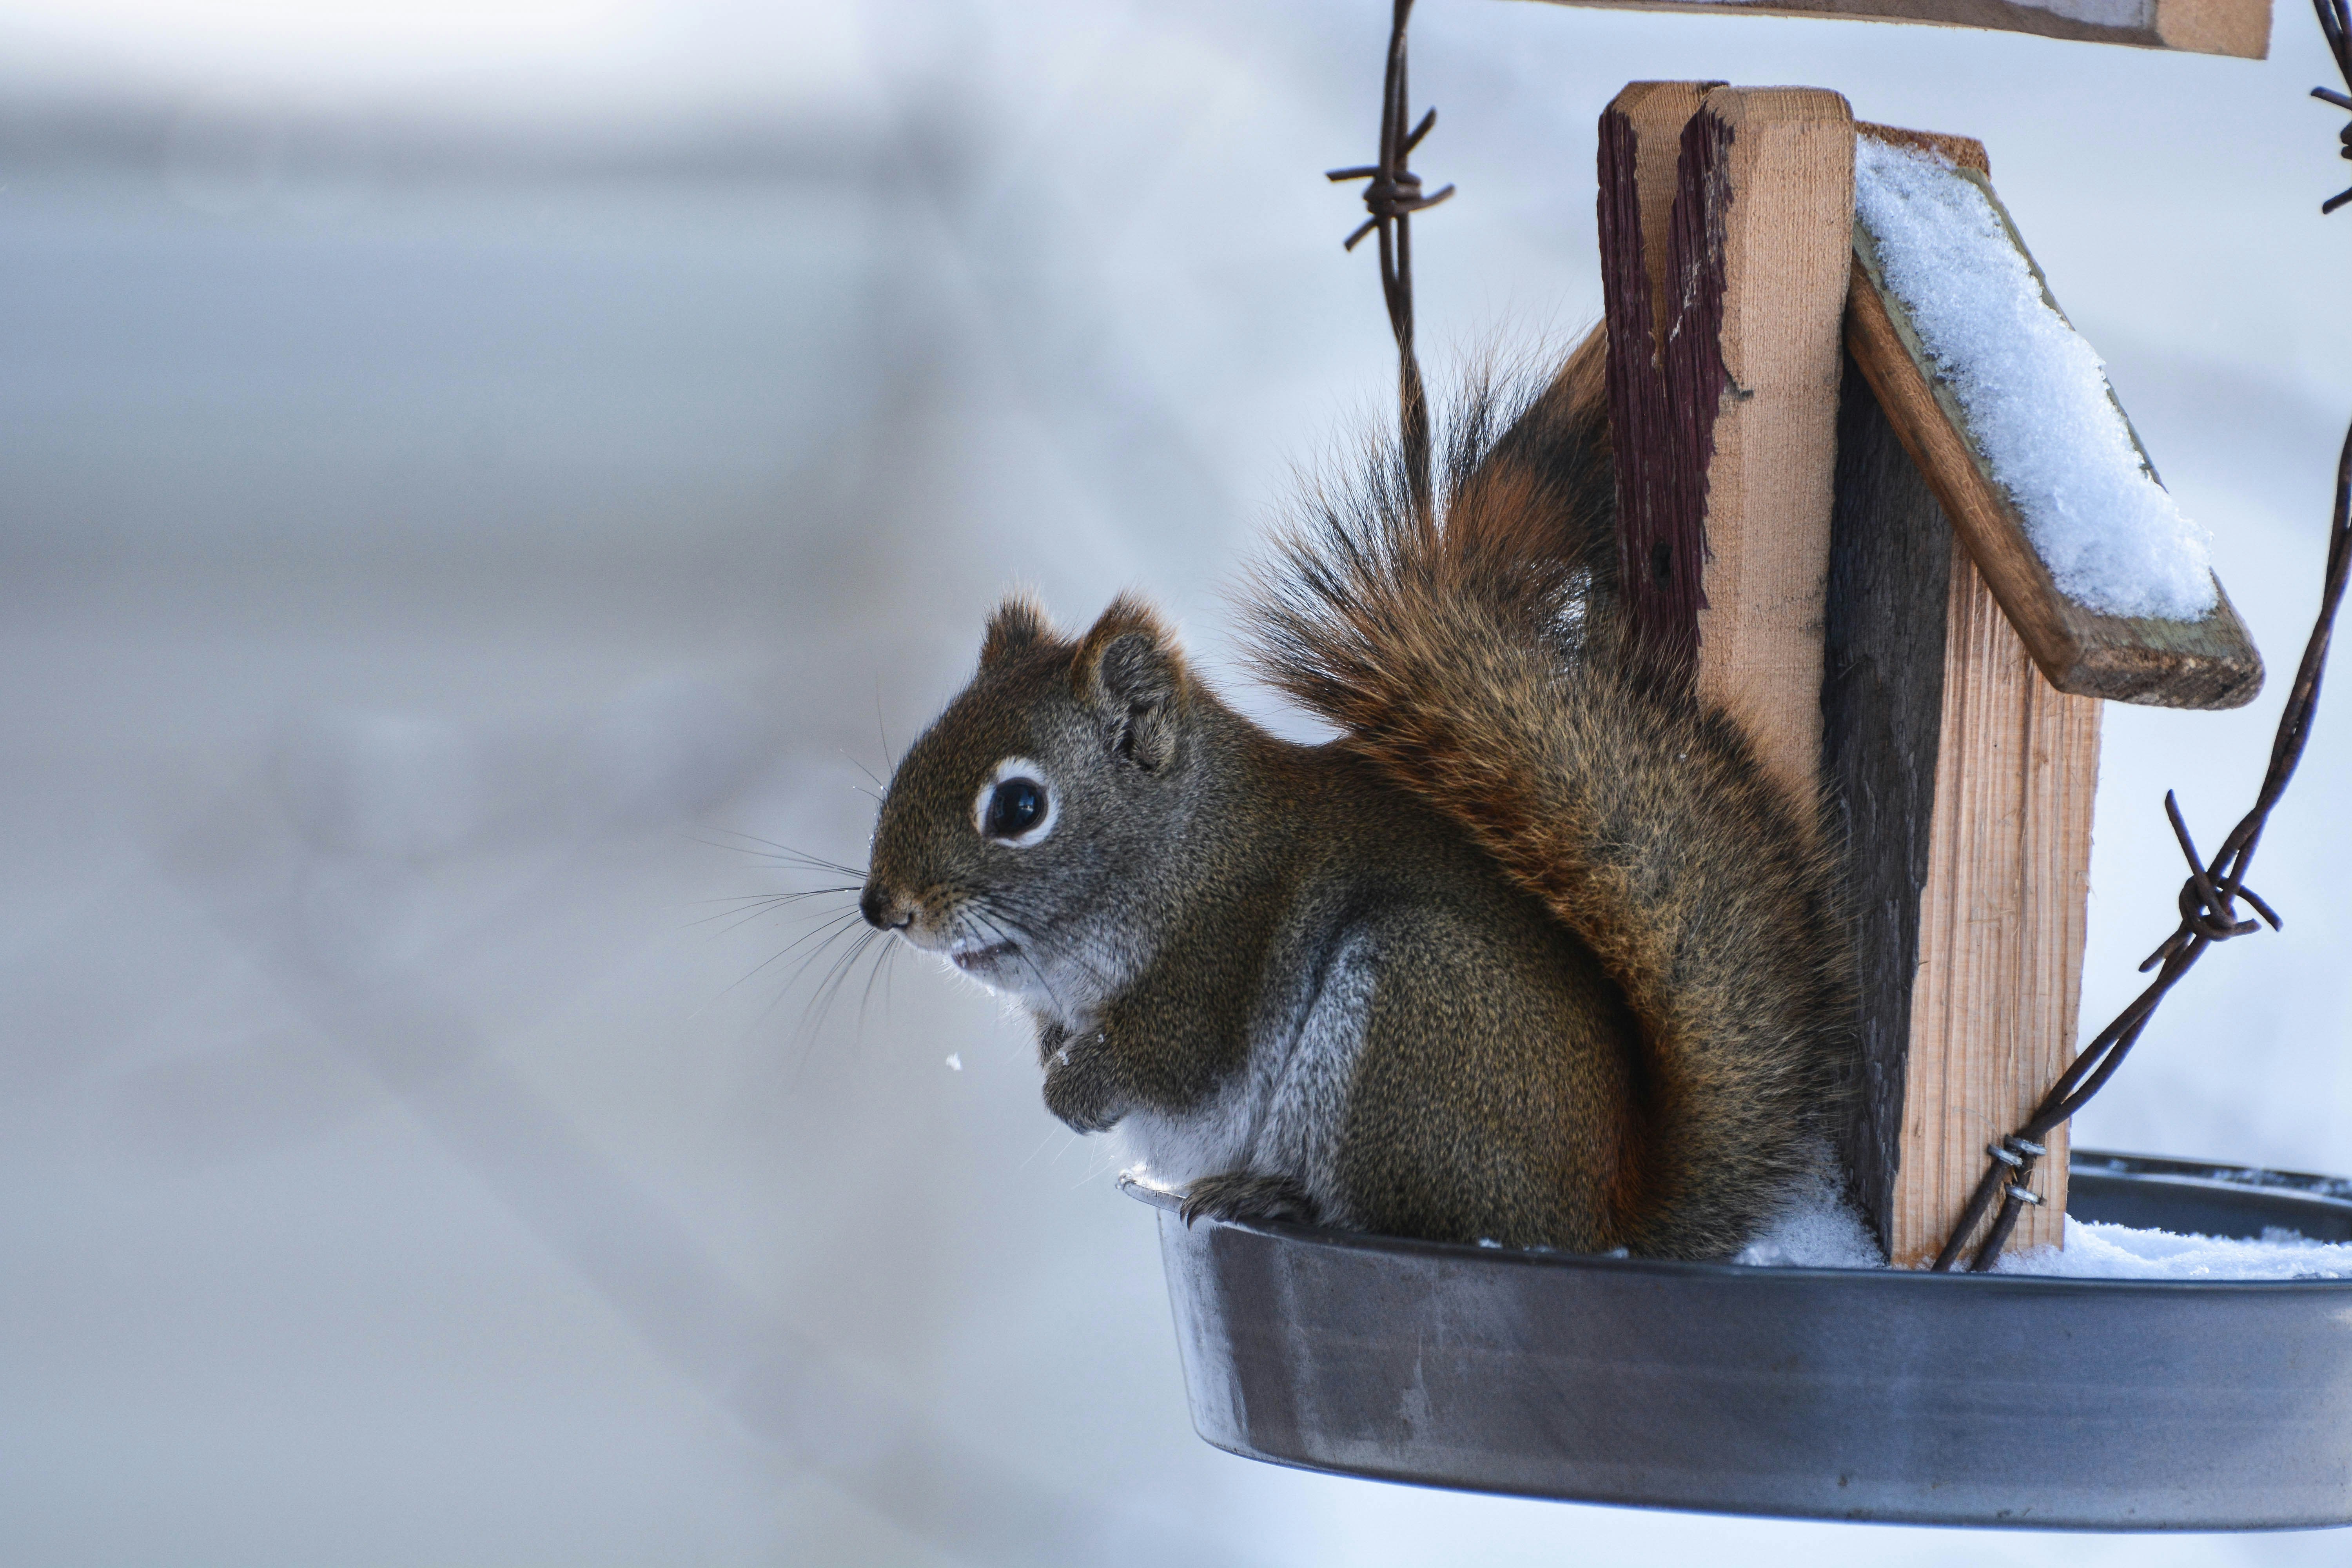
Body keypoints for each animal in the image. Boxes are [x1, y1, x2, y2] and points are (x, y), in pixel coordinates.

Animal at [858, 333, 1855, 1259]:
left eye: (1019, 808)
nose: (883, 908)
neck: (1176, 848)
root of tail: (1600, 1217)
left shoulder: (1220, 954)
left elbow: (1163, 1054)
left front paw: (1072, 1088)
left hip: (1411, 1013)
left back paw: (1273, 1195)